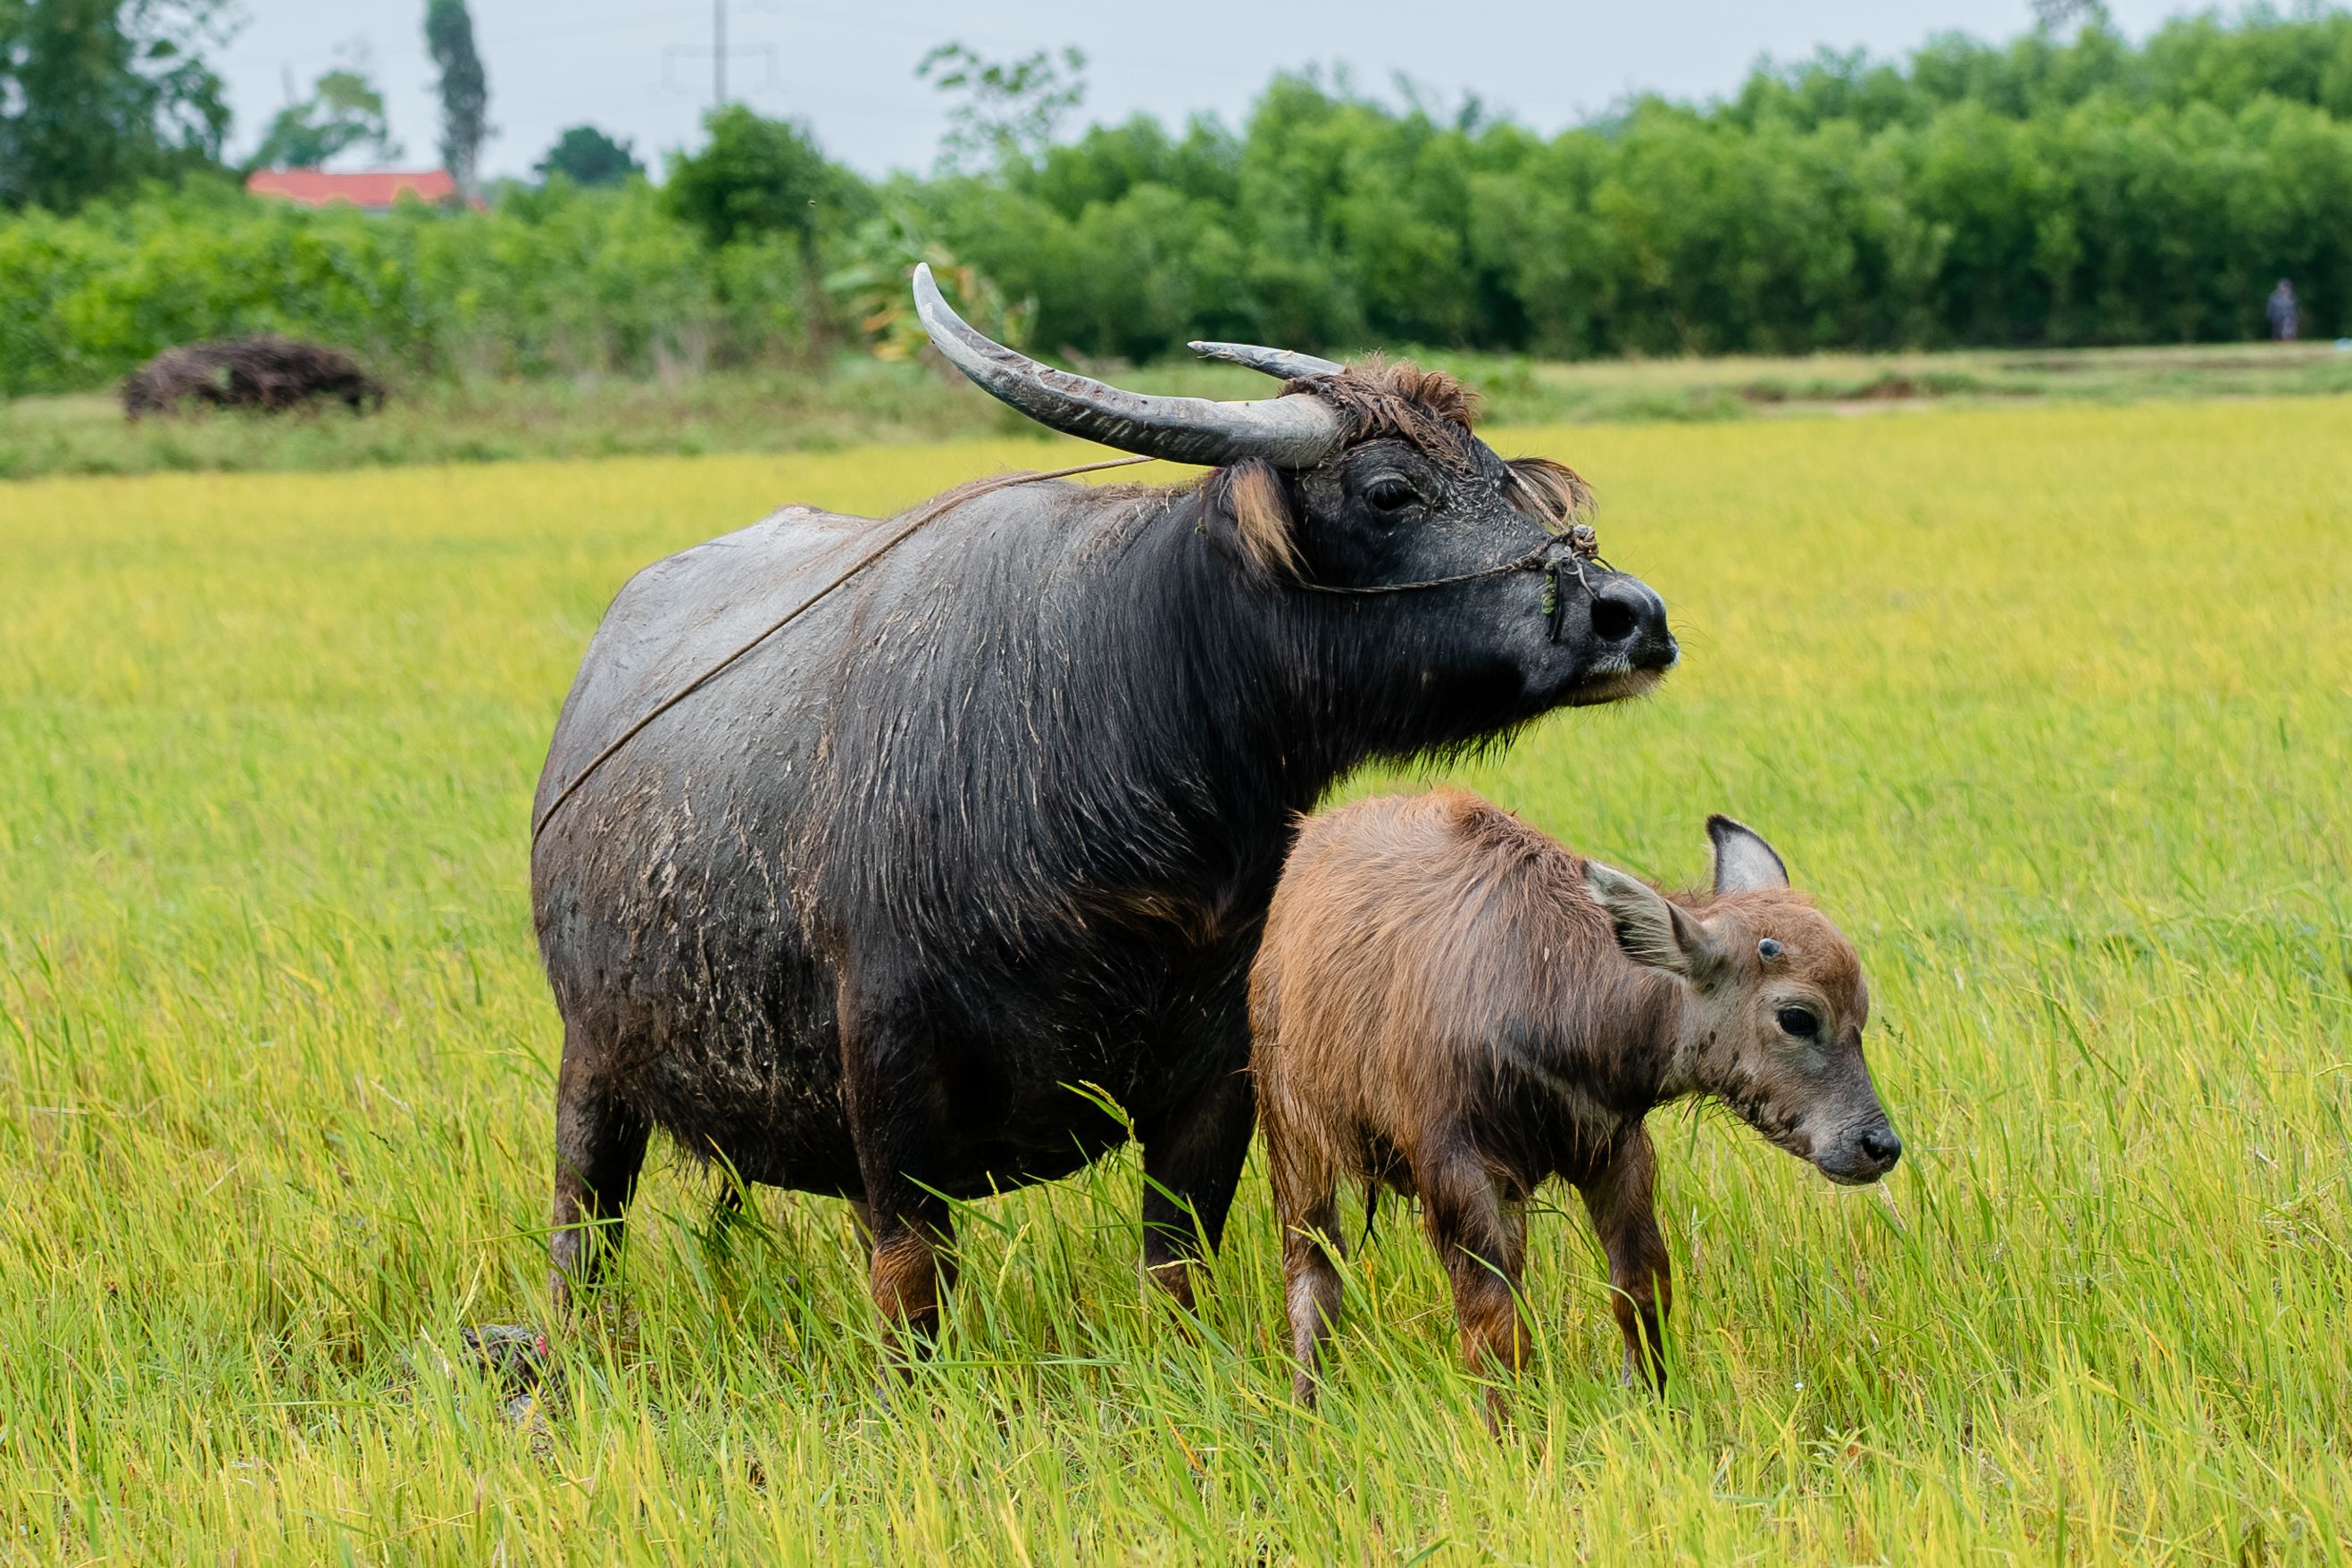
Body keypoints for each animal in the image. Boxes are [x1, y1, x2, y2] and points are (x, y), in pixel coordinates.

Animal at [530, 266, 1678, 1345]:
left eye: (1497, 474)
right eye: (1390, 490)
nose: (1631, 615)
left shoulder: (1216, 1074)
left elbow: (1175, 1265)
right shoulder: (891, 1075)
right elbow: (912, 1281)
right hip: (592, 1069)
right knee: (584, 1226)